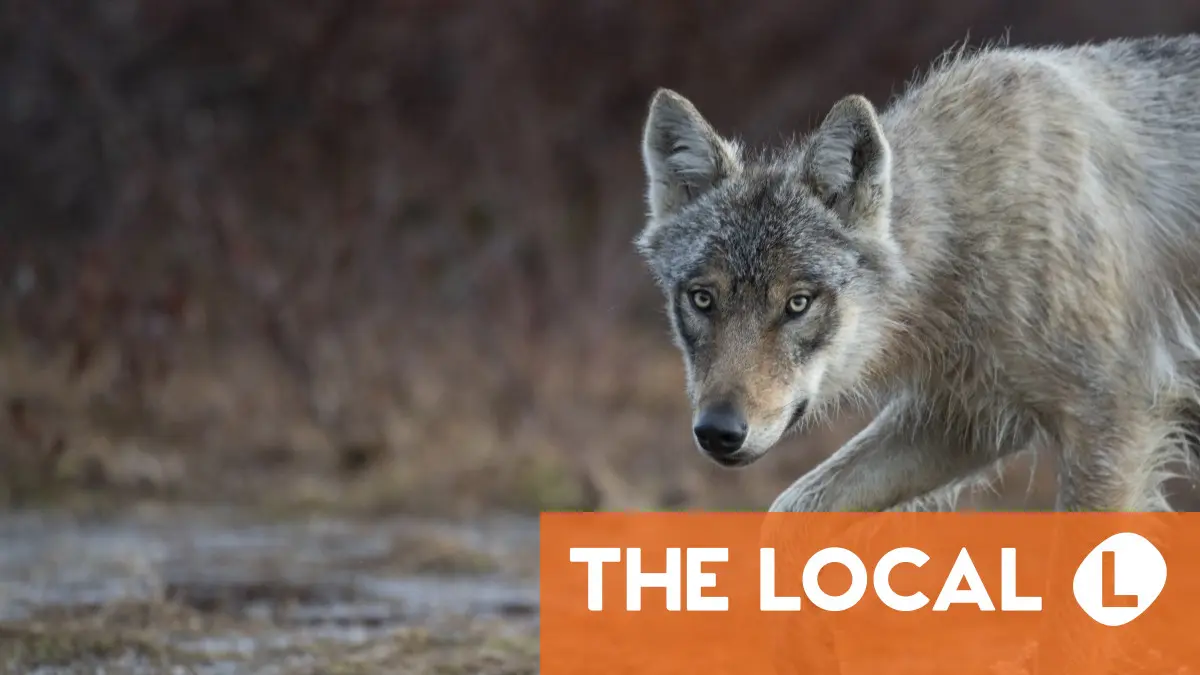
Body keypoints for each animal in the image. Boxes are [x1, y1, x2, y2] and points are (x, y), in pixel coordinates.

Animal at [634, 35, 1200, 513]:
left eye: (798, 303)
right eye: (702, 299)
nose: (718, 431)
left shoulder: (1114, 425)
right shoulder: (963, 420)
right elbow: (791, 506)